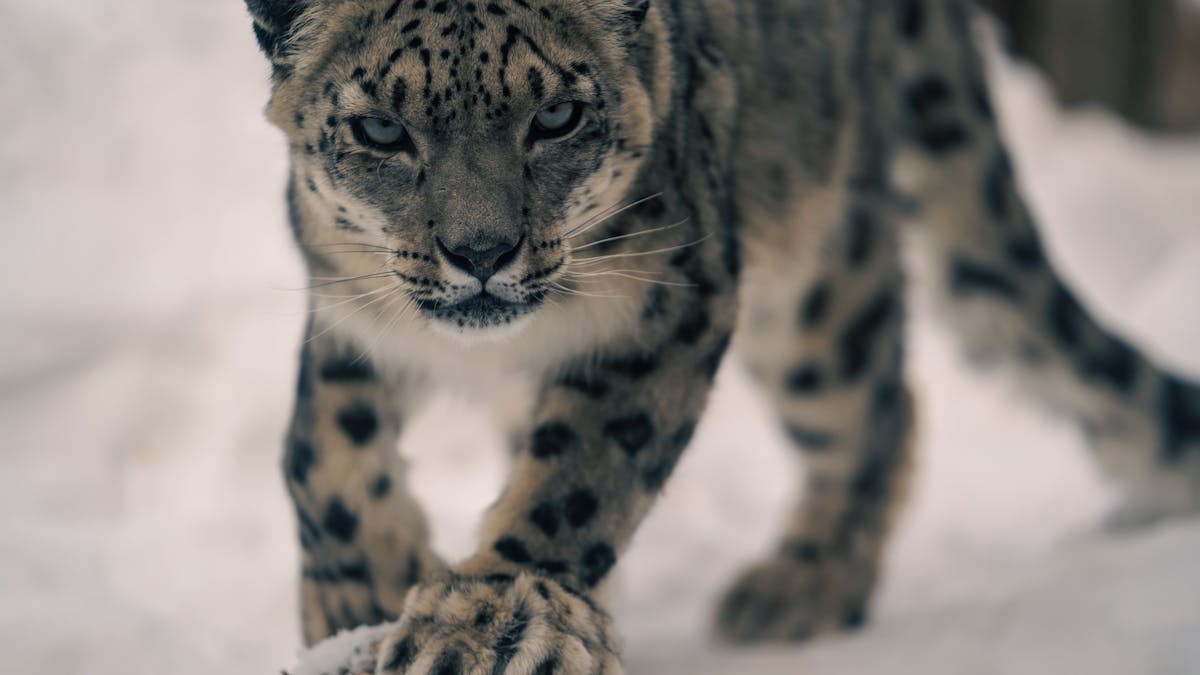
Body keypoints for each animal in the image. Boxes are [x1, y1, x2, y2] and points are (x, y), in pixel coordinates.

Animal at [242, 0, 1200, 672]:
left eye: (556, 117)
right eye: (379, 128)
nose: (481, 252)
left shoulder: (666, 298)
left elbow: (582, 471)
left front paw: (490, 619)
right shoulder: (350, 309)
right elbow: (319, 454)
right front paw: (359, 599)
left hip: (816, 291)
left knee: (881, 401)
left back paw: (804, 582)